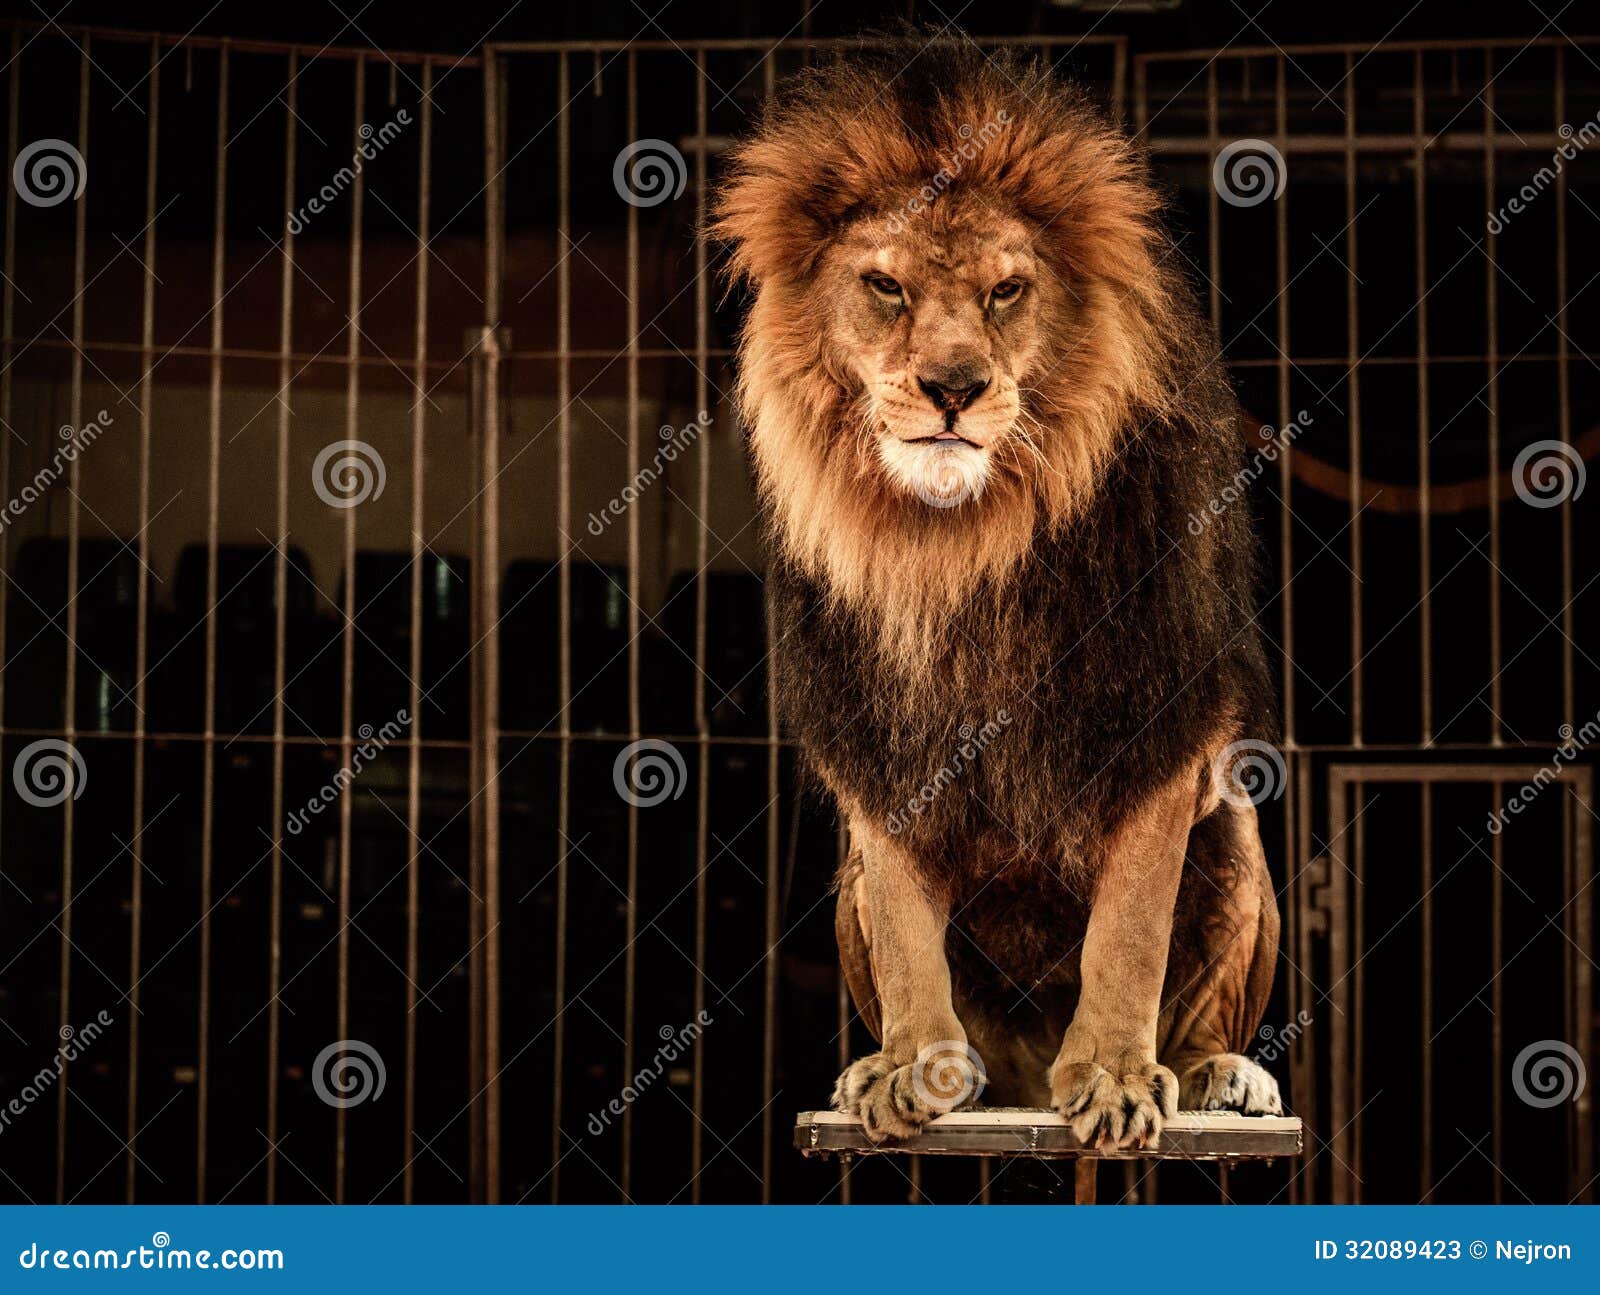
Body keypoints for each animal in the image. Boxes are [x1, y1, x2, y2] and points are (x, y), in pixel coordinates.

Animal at [713, 38, 1282, 1149]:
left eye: (1008, 290)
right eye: (885, 285)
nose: (953, 388)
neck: (960, 537)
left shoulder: (1159, 714)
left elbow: (1129, 930)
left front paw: (1114, 1077)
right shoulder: (874, 729)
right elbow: (905, 925)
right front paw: (913, 1067)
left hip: (1237, 825)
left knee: (1199, 1015)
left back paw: (1221, 1076)